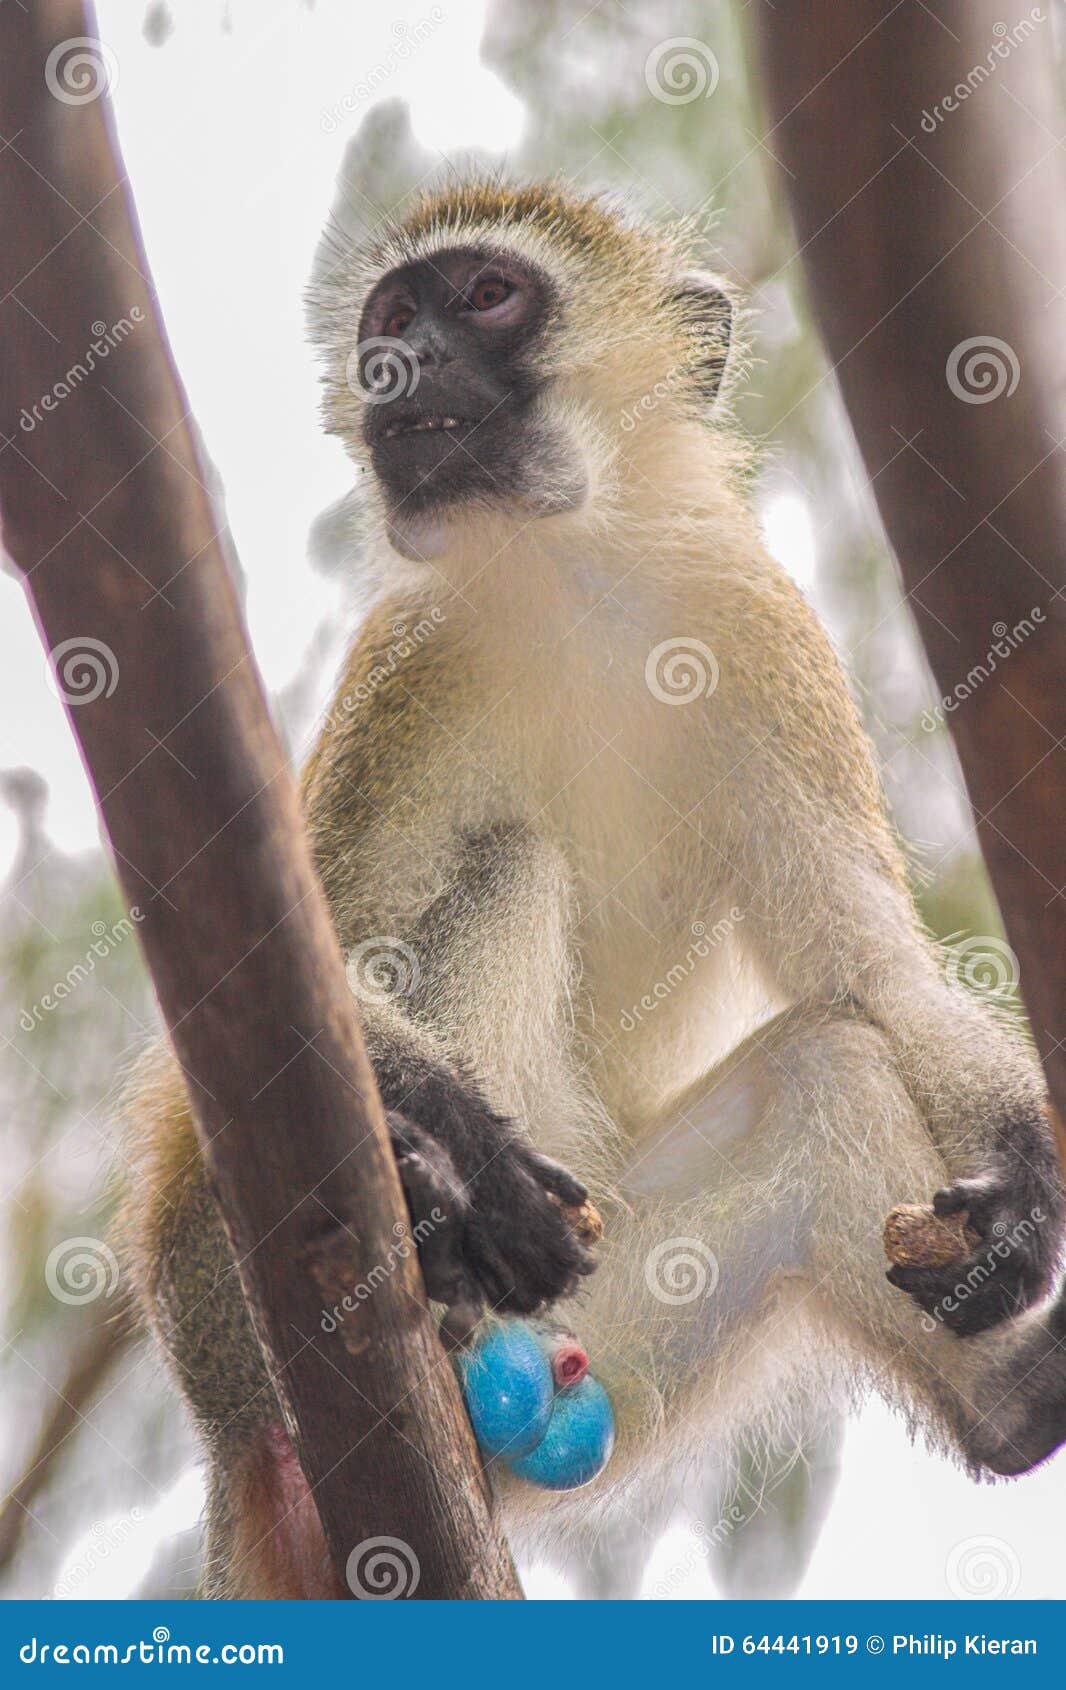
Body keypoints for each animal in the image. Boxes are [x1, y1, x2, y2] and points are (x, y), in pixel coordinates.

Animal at [117, 179, 1066, 1599]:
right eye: (391, 316)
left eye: (485, 297)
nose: (394, 360)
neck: (570, 569)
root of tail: (231, 1437)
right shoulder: (410, 669)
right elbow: (259, 1005)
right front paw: (472, 1158)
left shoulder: (756, 625)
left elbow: (873, 970)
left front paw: (1023, 1186)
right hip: (242, 1306)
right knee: (507, 868)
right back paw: (442, 1231)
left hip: (603, 1318)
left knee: (828, 1065)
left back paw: (1016, 1408)